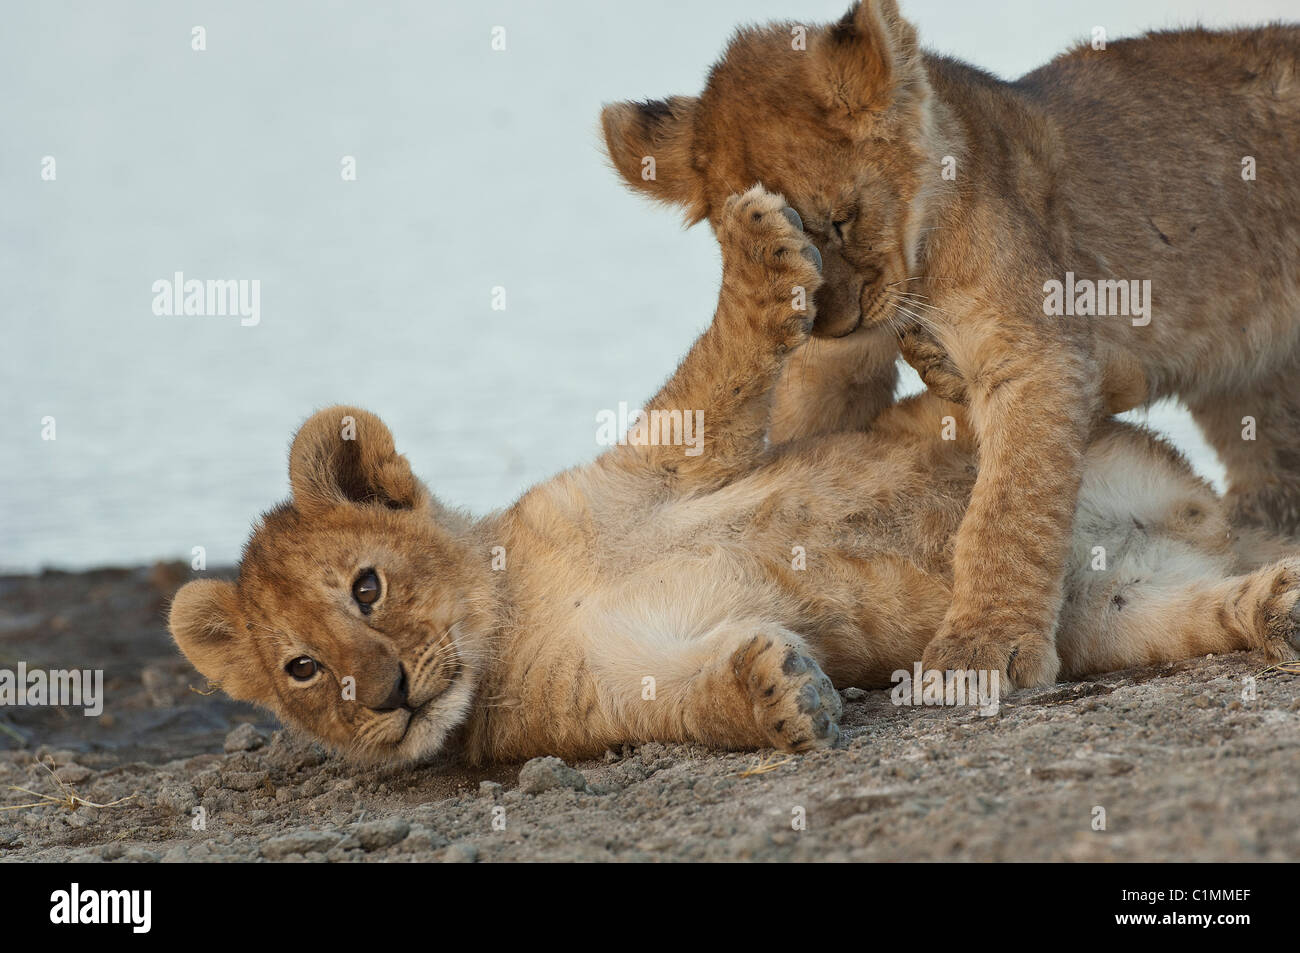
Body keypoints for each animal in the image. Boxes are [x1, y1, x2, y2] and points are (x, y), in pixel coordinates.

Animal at [170, 187, 1300, 766]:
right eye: (299, 668)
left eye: (367, 586)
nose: (387, 695)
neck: (515, 607)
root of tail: (1192, 519)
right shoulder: (593, 695)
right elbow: (688, 700)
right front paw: (775, 694)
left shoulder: (667, 462)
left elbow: (710, 376)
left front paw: (757, 248)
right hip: (1113, 608)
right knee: (1202, 606)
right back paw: (1279, 605)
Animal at [600, 2, 1300, 689]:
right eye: (786, 240)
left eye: (842, 219)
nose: (836, 324)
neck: (920, 257)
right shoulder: (837, 361)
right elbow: (806, 420)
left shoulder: (1034, 355)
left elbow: (1009, 508)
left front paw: (984, 647)